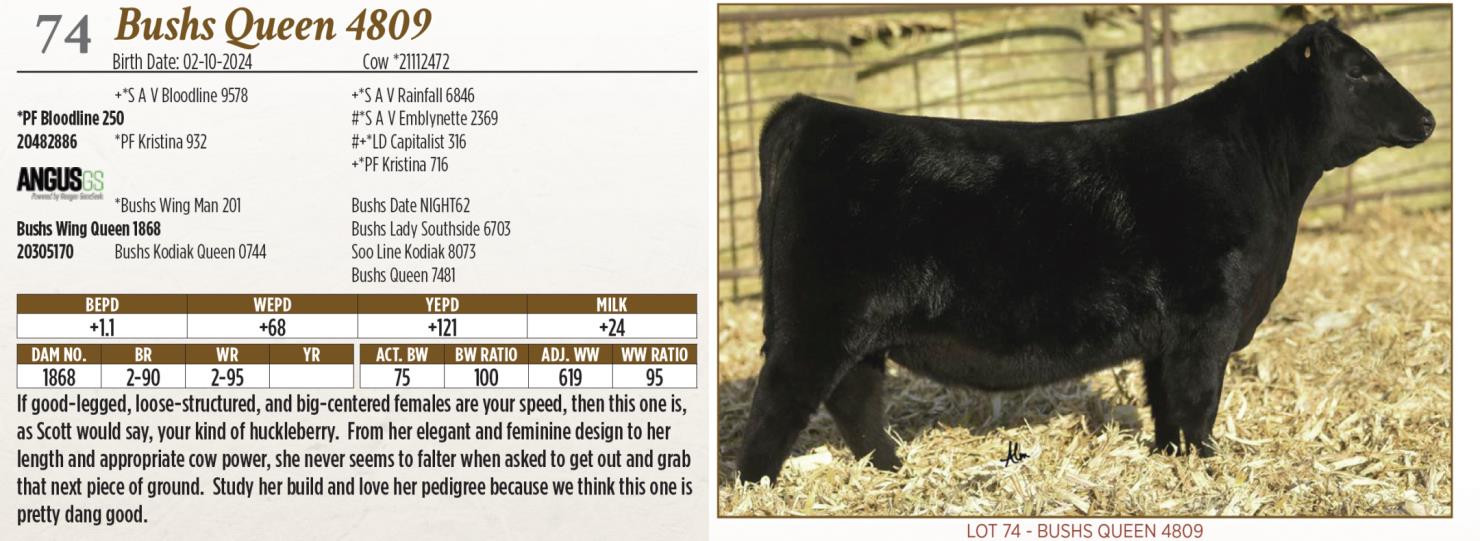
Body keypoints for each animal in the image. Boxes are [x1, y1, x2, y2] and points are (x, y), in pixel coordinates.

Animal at [738, 19, 1434, 483]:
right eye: (1360, 70)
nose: (1428, 119)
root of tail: (808, 111)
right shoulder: (1206, 319)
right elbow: (1197, 398)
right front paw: (1207, 462)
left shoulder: (1169, 334)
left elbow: (1167, 402)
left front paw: (1173, 458)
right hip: (818, 318)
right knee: (783, 397)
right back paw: (757, 485)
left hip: (856, 330)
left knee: (852, 396)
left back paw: (890, 466)